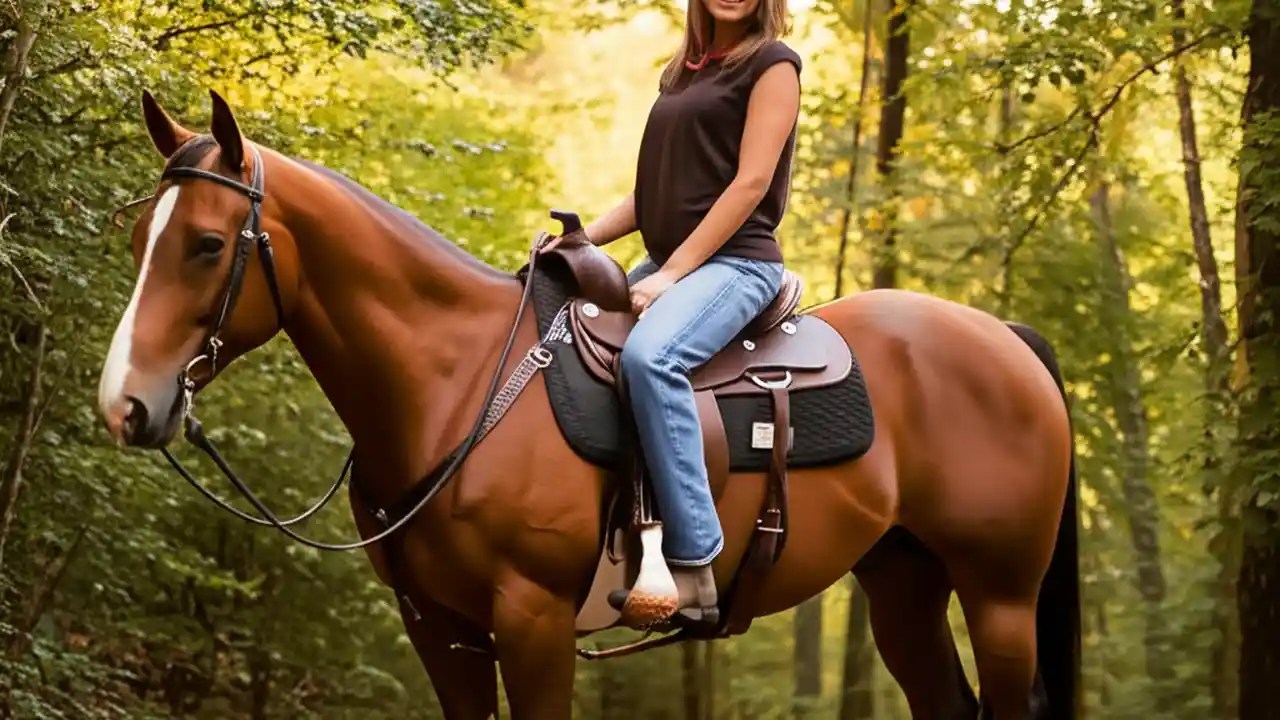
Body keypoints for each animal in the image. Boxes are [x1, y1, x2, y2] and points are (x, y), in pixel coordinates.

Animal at [96, 89, 1080, 720]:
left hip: (999, 594)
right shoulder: (440, 629)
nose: (125, 404)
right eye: (143, 236)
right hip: (903, 580)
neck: (456, 388)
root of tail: (1004, 340)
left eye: (208, 243)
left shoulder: (531, 622)